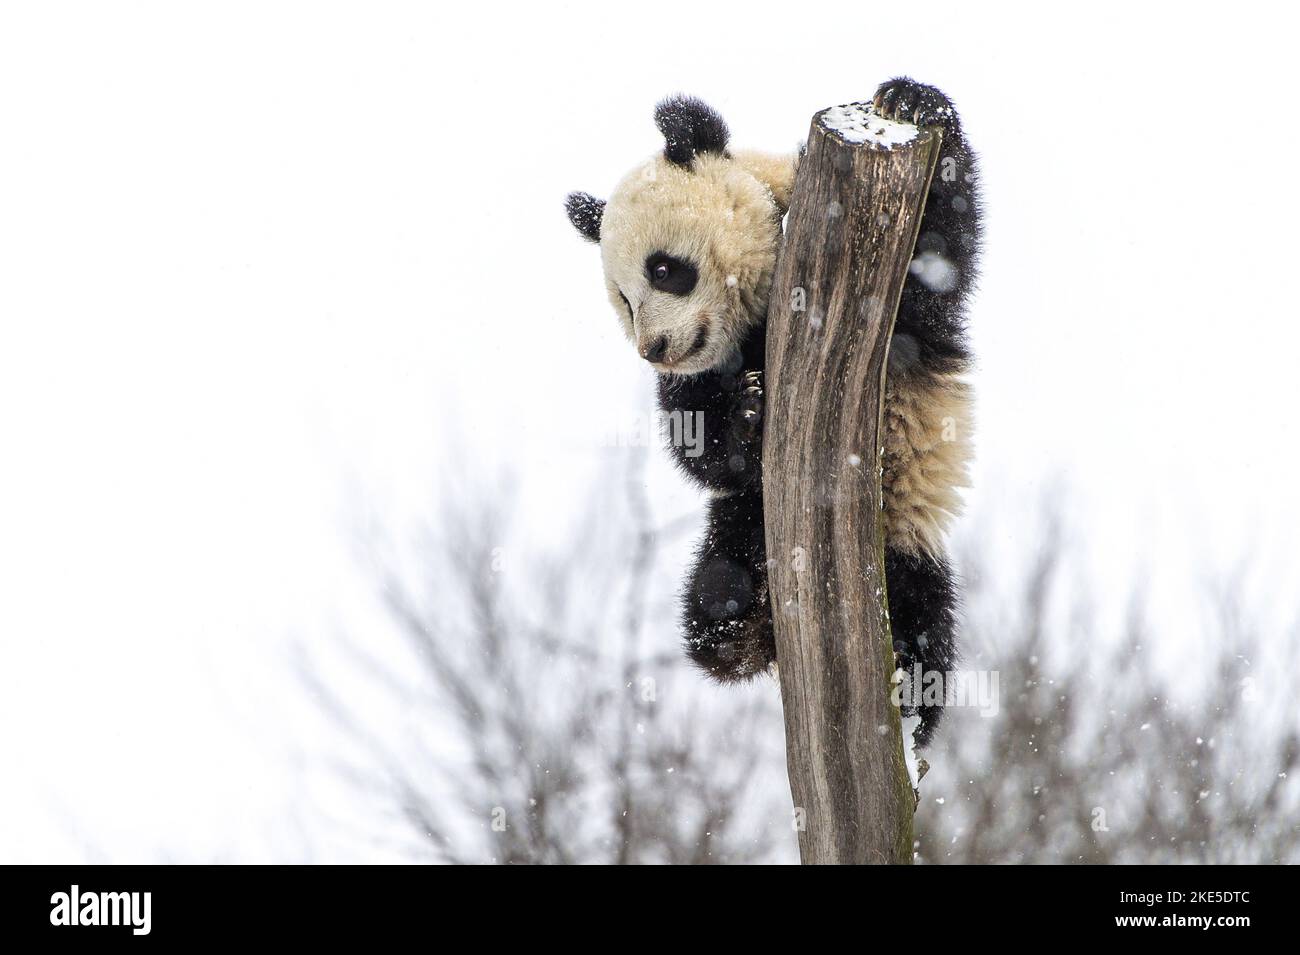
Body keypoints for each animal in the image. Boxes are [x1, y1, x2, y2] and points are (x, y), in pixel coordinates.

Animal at [564, 78, 980, 745]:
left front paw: (913, 101)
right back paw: (733, 628)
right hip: (744, 522)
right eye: (624, 301)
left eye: (664, 269)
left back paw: (911, 704)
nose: (655, 349)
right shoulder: (698, 376)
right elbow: (697, 439)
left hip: (904, 535)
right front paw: (748, 413)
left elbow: (939, 253)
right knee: (712, 592)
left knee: (924, 619)